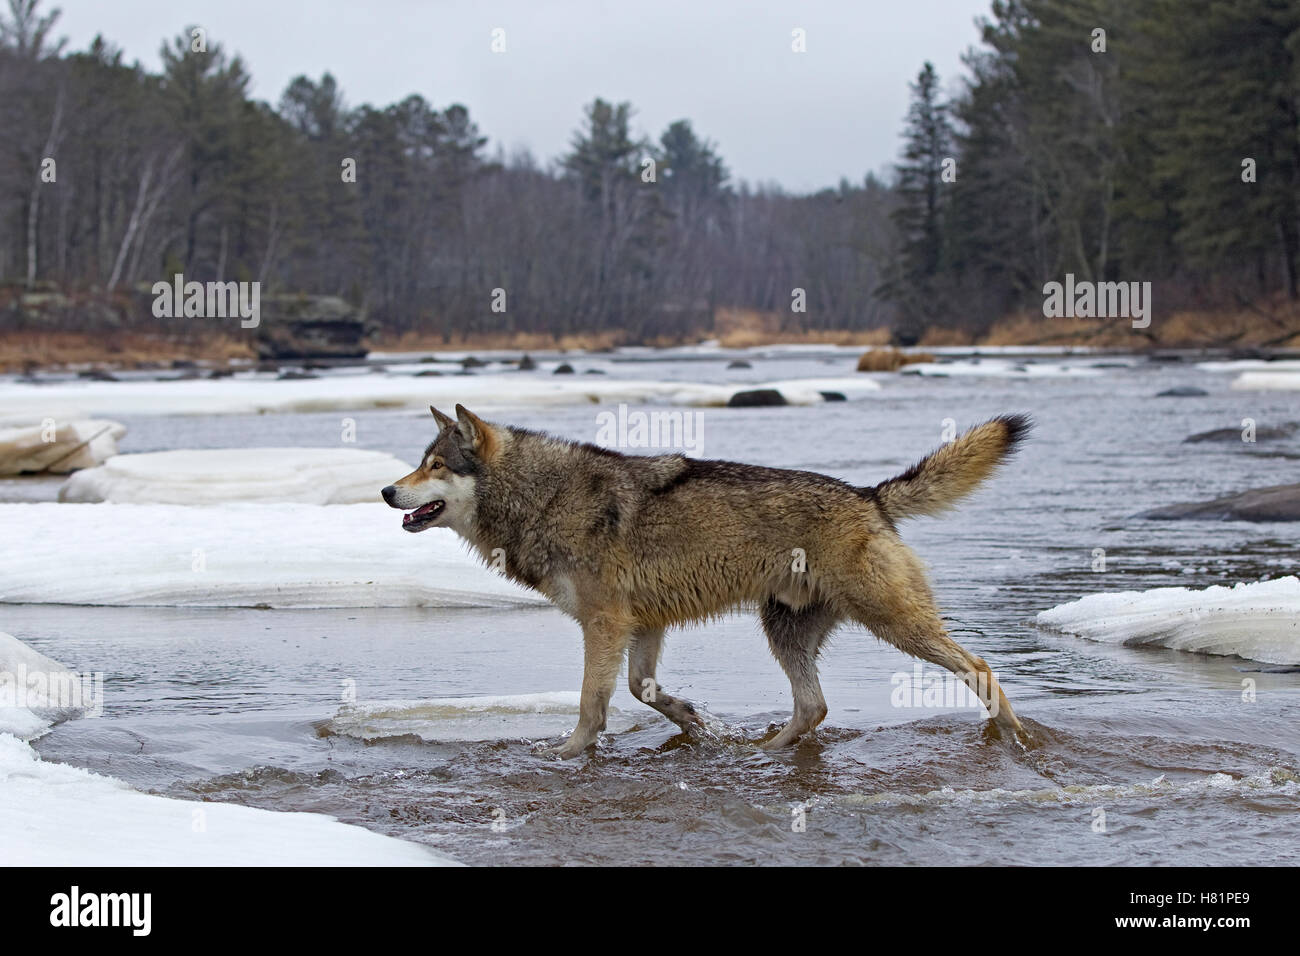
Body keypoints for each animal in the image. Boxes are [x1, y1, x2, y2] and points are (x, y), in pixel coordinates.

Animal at [382, 405, 1031, 759]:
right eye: (419, 463)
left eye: (435, 466)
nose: (388, 491)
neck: (543, 497)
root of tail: (870, 496)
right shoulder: (640, 625)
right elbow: (643, 691)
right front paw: (694, 720)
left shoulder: (604, 623)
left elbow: (592, 703)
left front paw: (565, 754)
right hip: (784, 631)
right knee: (813, 706)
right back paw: (763, 751)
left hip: (894, 625)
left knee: (980, 667)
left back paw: (1018, 737)